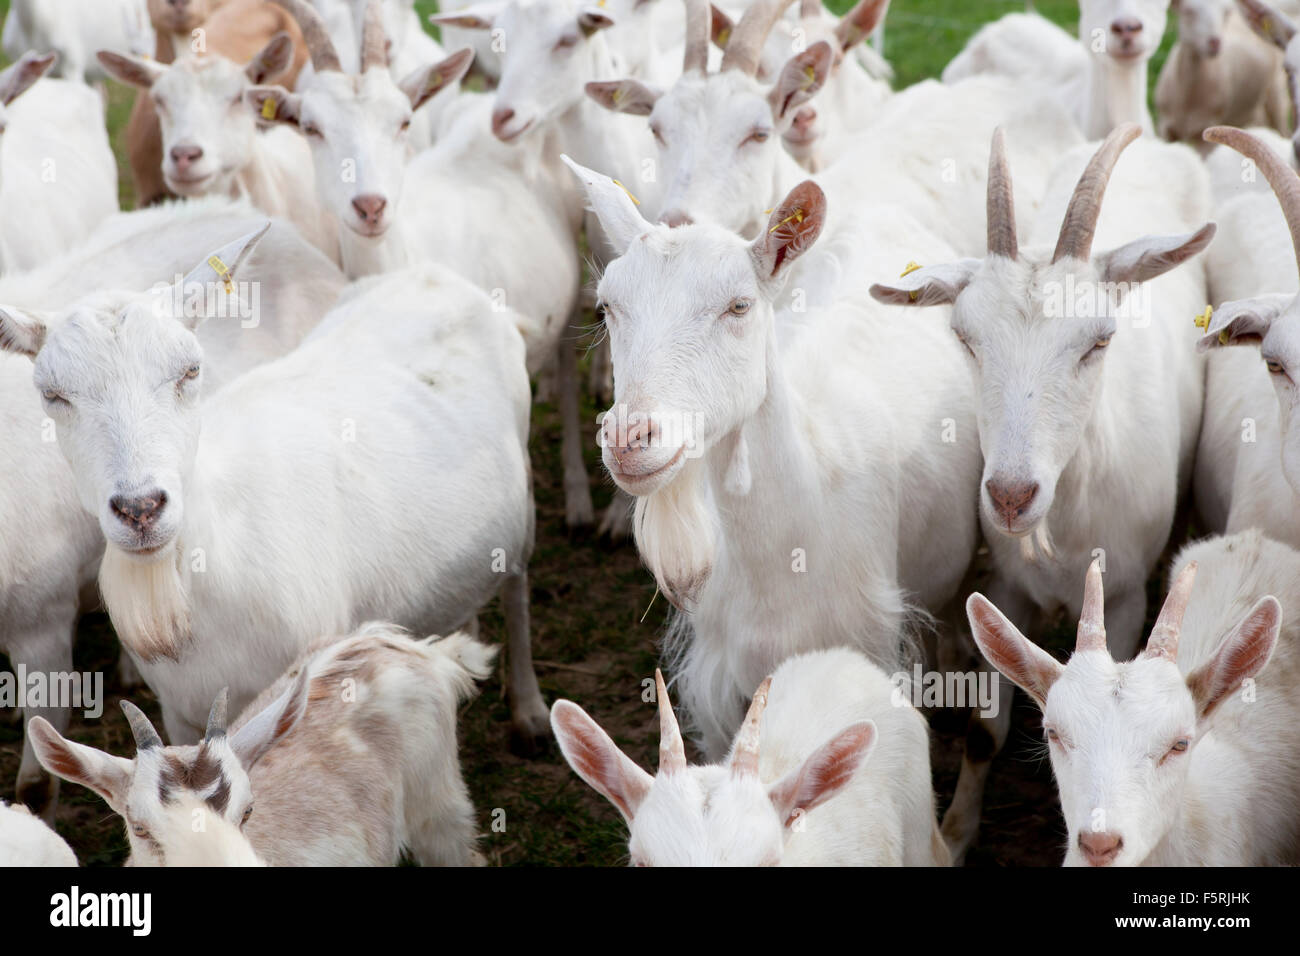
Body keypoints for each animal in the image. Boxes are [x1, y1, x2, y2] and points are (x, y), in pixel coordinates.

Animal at [0, 229, 548, 751]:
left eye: (191, 370)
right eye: (52, 394)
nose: (140, 509)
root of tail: (436, 276)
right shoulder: (179, 713)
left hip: (522, 494)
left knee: (518, 589)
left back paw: (532, 714)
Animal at [870, 124, 1216, 862]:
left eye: (1099, 341)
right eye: (964, 337)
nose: (1009, 495)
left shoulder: (1124, 599)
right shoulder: (1005, 584)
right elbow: (984, 732)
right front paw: (956, 832)